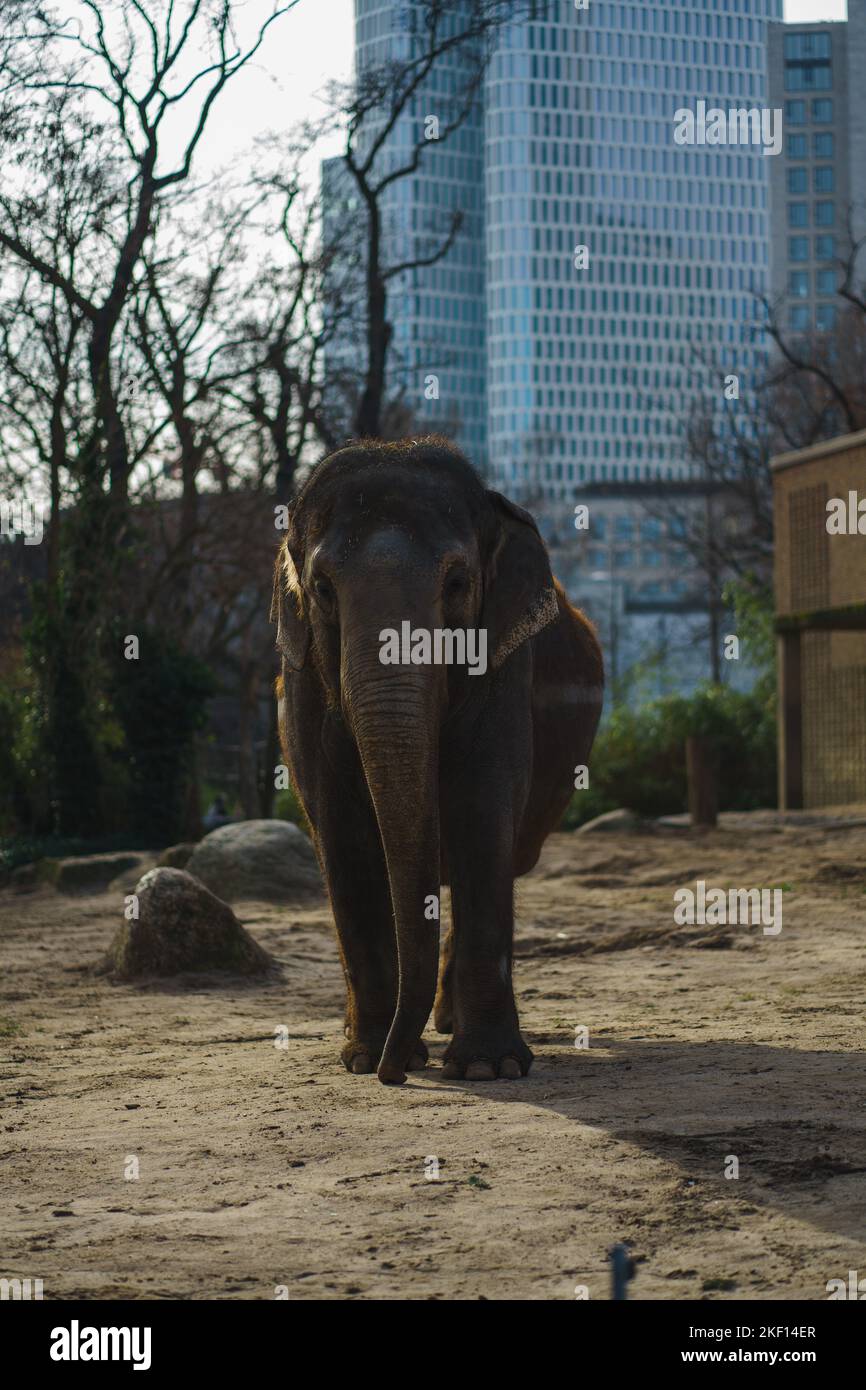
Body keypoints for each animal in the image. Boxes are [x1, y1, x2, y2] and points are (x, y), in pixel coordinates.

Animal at [271, 436, 603, 1085]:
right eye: (322, 588)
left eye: (457, 582)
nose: (396, 1075)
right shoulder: (303, 683)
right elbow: (341, 833)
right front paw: (363, 1057)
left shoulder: (504, 666)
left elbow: (484, 813)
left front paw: (489, 1067)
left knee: (510, 855)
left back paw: (450, 1025)